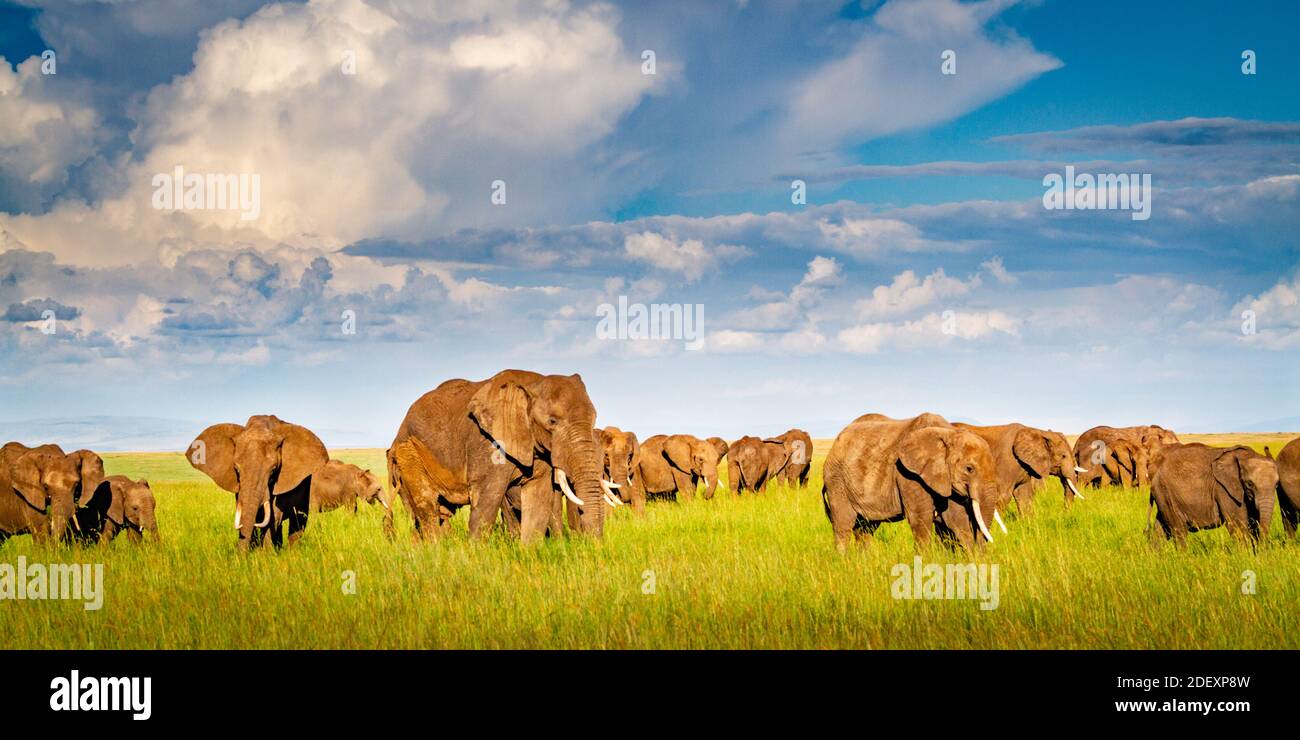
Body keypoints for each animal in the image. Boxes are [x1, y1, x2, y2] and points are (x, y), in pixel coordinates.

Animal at [187, 415, 329, 551]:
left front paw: (266, 555)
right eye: (236, 469)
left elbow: (273, 517)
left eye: (273, 471)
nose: (240, 556)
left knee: (297, 523)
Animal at [388, 370, 619, 545]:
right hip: (409, 453)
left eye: (593, 419)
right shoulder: (487, 442)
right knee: (427, 508)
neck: (534, 382)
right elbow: (487, 500)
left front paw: (528, 554)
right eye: (552, 422)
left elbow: (538, 498)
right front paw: (474, 558)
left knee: (434, 514)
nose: (595, 546)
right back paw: (434, 552)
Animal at [821, 413, 999, 552]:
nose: (981, 554)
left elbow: (955, 518)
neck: (948, 432)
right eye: (969, 469)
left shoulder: (943, 477)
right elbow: (920, 517)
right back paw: (843, 560)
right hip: (836, 480)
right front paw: (924, 561)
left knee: (866, 527)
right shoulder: (908, 473)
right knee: (844, 523)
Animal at [955, 423, 1084, 518]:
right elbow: (1003, 496)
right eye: (1063, 456)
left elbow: (1024, 495)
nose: (1063, 513)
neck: (1038, 431)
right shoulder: (1007, 460)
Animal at [1148, 443, 1277, 547]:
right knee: (1179, 531)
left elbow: (1253, 521)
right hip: (1166, 494)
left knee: (1160, 529)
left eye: (1276, 485)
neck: (1246, 456)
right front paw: (1246, 556)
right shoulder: (1224, 488)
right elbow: (1238, 525)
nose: (1263, 546)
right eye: (1249, 484)